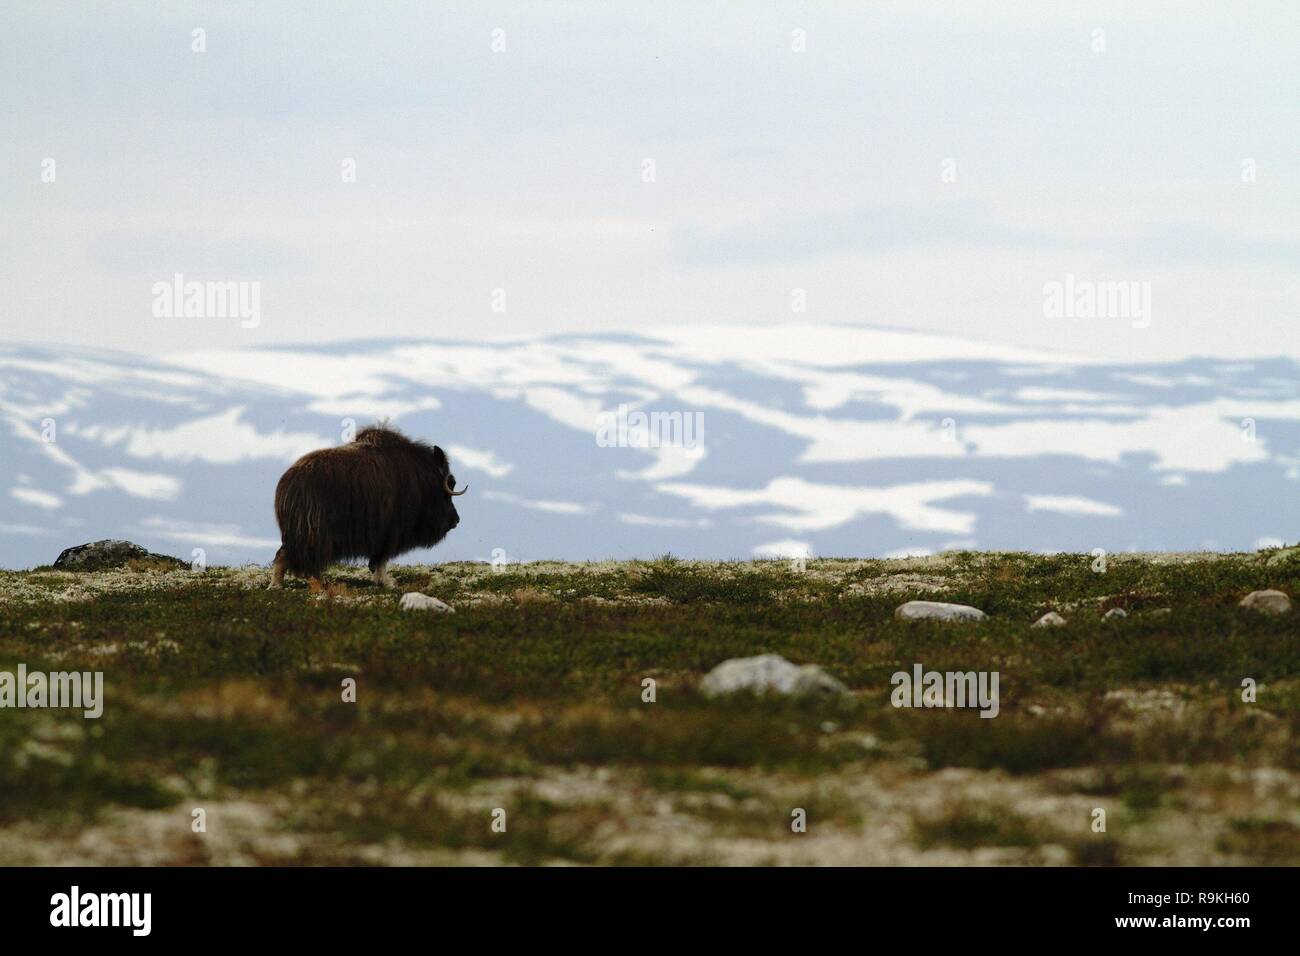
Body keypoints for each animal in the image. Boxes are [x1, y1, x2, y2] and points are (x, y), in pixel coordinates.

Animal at [269, 425, 466, 592]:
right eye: (450, 486)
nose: (456, 520)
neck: (421, 479)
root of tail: (288, 484)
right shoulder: (390, 531)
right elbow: (382, 558)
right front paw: (388, 582)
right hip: (314, 534)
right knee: (303, 559)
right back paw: (316, 584)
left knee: (285, 555)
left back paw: (279, 585)